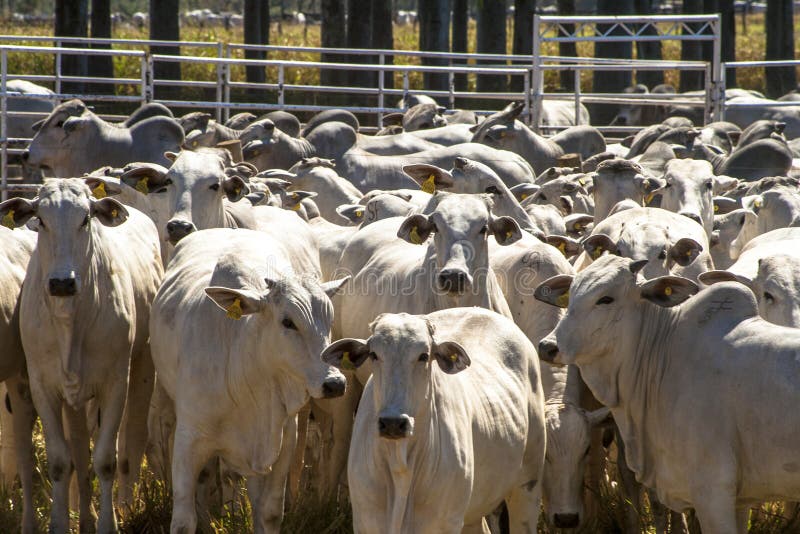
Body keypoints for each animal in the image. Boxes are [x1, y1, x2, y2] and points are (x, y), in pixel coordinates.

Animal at [0, 179, 163, 533]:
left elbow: (105, 460)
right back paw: (84, 518)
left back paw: (124, 506)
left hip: (143, 366)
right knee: (75, 447)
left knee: (132, 439)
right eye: (41, 219)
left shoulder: (115, 383)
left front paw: (108, 524)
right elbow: (62, 461)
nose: (62, 283)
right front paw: (60, 524)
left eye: (85, 219)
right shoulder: (43, 386)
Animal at [150, 228, 348, 532]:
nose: (335, 383)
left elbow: (269, 512)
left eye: (330, 319)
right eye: (287, 322)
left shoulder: (284, 438)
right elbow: (183, 521)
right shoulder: (187, 441)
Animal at [321, 308, 546, 533]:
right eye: (374, 354)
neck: (400, 467)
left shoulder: (446, 523)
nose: (393, 423)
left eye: (424, 355)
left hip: (528, 486)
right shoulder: (364, 522)